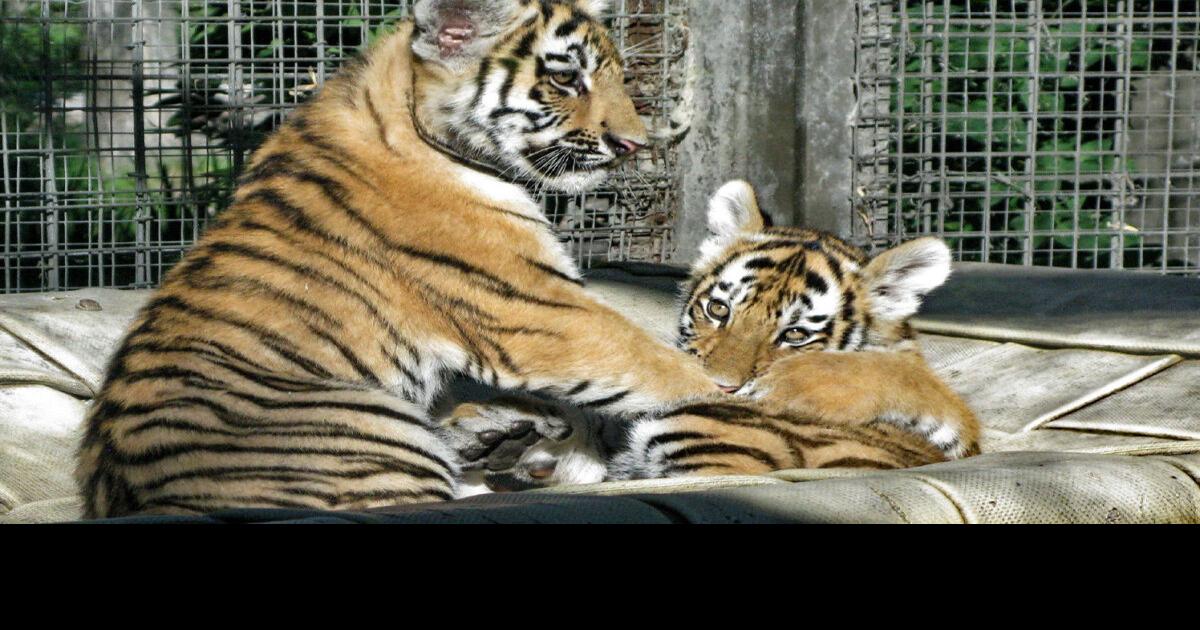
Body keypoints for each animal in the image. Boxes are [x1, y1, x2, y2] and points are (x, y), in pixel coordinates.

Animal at [74, 0, 730, 518]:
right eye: (566, 79)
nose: (633, 145)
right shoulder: (537, 308)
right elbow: (666, 366)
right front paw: (740, 405)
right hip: (374, 428)